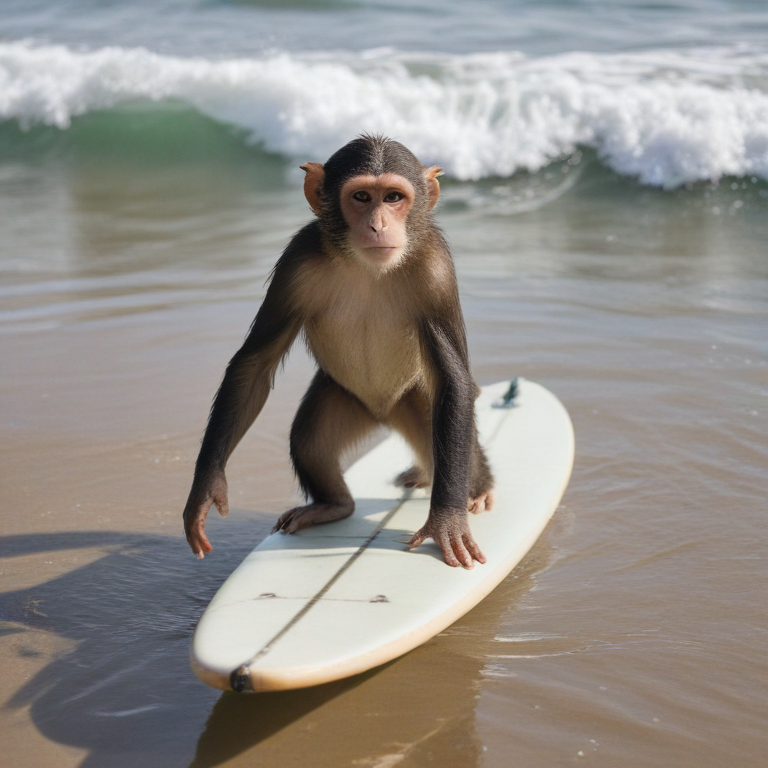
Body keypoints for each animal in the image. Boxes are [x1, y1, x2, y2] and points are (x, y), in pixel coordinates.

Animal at [182, 135, 494, 569]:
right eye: (361, 197)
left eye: (393, 197)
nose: (377, 224)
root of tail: (384, 415)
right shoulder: (295, 264)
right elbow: (254, 364)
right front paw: (205, 488)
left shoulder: (435, 271)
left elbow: (453, 380)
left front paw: (446, 521)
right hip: (344, 399)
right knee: (309, 442)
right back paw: (334, 505)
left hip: (415, 402)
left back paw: (476, 489)